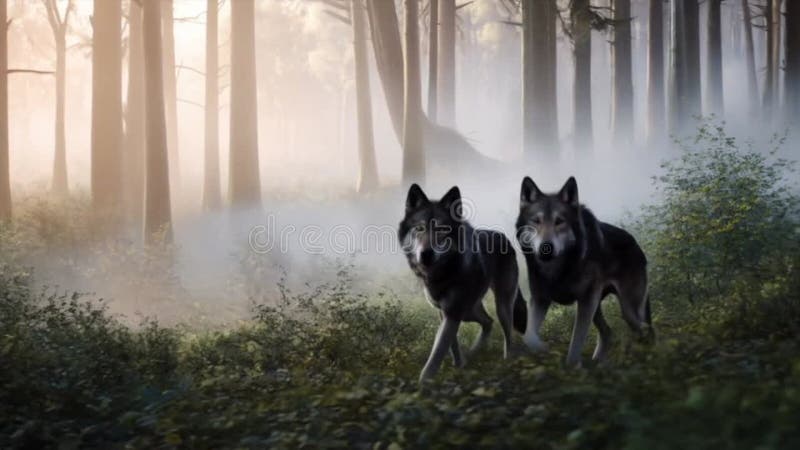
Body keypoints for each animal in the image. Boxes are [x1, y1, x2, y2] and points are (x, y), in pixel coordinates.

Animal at [399, 184, 527, 382]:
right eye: (419, 228)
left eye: (442, 229)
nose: (426, 254)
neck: (442, 273)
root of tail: (503, 237)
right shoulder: (444, 312)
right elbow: (451, 344)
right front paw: (459, 366)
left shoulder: (453, 312)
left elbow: (438, 350)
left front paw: (424, 382)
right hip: (469, 311)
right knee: (488, 322)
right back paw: (473, 352)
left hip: (500, 306)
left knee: (508, 334)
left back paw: (507, 361)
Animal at [515, 176, 653, 367]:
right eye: (536, 221)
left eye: (559, 221)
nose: (546, 248)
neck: (558, 270)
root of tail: (635, 243)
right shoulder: (540, 299)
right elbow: (528, 336)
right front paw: (544, 349)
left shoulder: (586, 300)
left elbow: (576, 343)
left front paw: (571, 367)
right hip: (598, 307)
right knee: (608, 332)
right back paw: (599, 364)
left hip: (626, 309)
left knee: (644, 330)